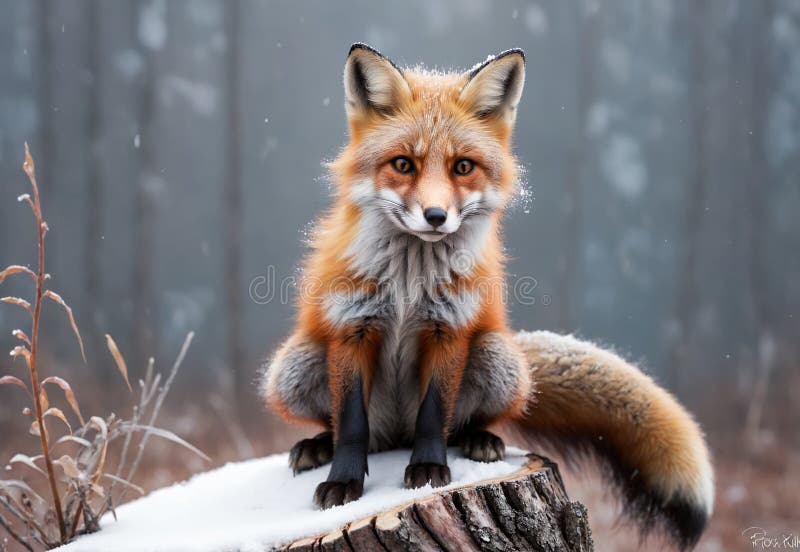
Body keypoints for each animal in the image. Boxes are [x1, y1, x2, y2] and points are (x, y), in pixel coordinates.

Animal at [261, 44, 714, 549]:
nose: (435, 216)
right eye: (403, 164)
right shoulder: (351, 327)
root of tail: (394, 435)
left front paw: (429, 469)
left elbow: (434, 414)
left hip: (499, 357)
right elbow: (352, 425)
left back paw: (478, 441)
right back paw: (317, 445)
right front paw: (343, 484)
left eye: (463, 166)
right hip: (293, 365)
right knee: (345, 426)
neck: (409, 282)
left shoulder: (451, 329)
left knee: (459, 423)